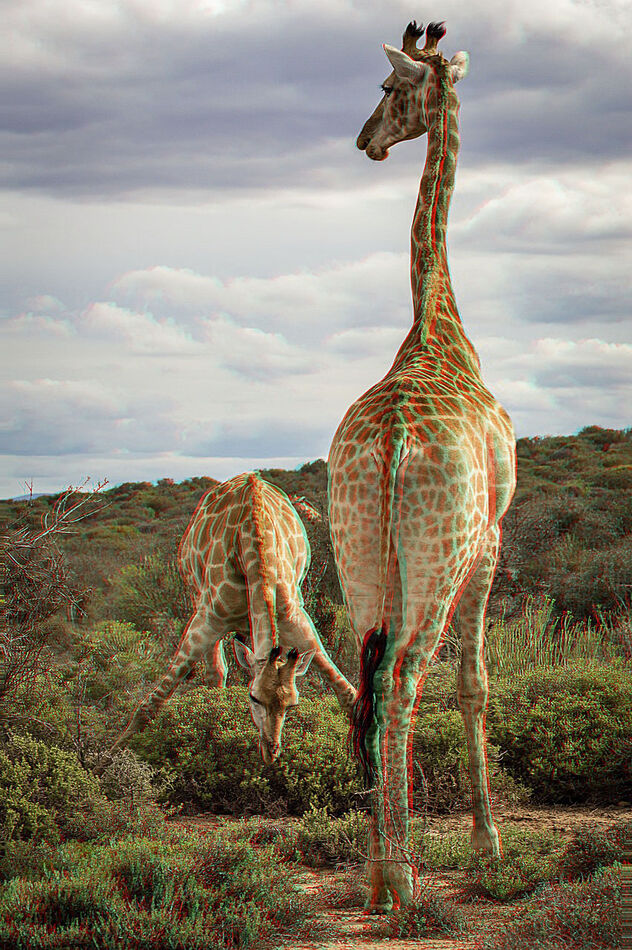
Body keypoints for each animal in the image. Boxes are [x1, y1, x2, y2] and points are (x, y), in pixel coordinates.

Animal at [112, 472, 356, 764]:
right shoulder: (208, 619)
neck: (255, 550)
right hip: (196, 597)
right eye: (253, 697)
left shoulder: (295, 617)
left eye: (293, 704)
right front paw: (107, 758)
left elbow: (348, 693)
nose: (271, 752)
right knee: (215, 672)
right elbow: (153, 700)